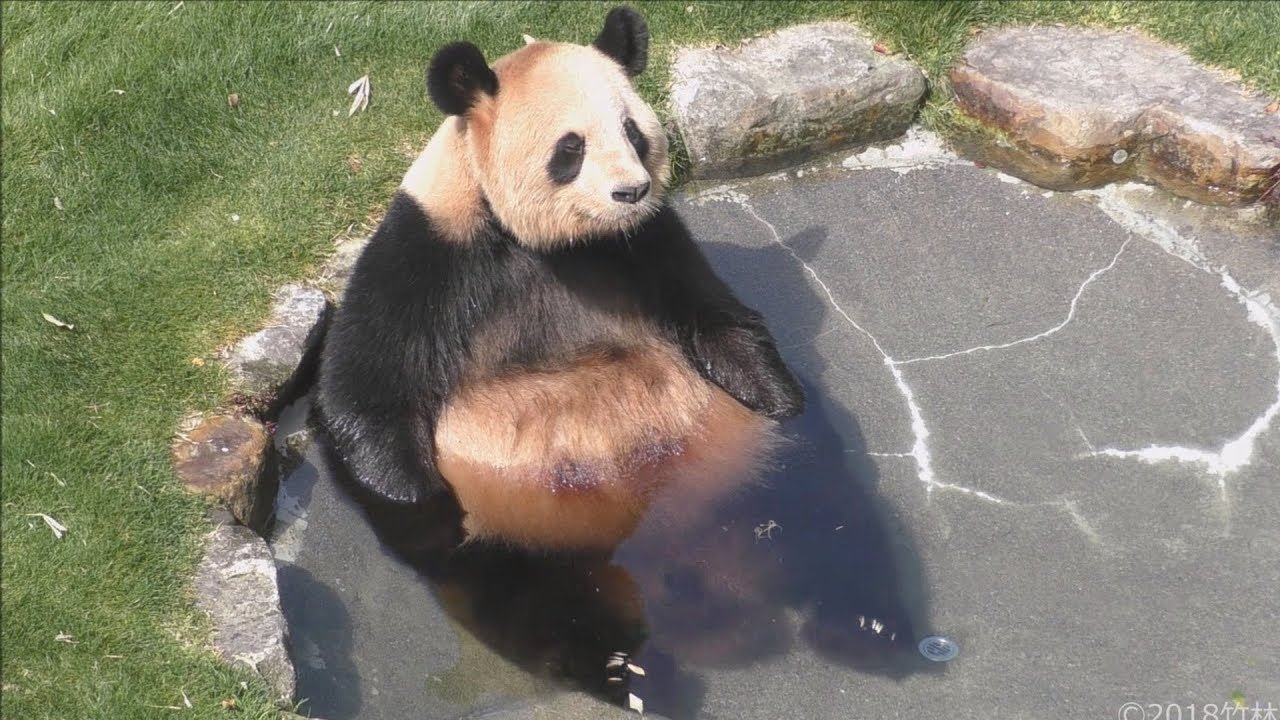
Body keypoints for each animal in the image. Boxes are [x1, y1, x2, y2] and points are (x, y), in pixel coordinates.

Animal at [316, 6, 804, 553]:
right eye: (571, 147)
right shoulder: (428, 252)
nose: (632, 192)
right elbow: (366, 390)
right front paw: (423, 505)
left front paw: (783, 400)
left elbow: (719, 320)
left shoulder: (647, 241)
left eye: (632, 132)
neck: (551, 243)